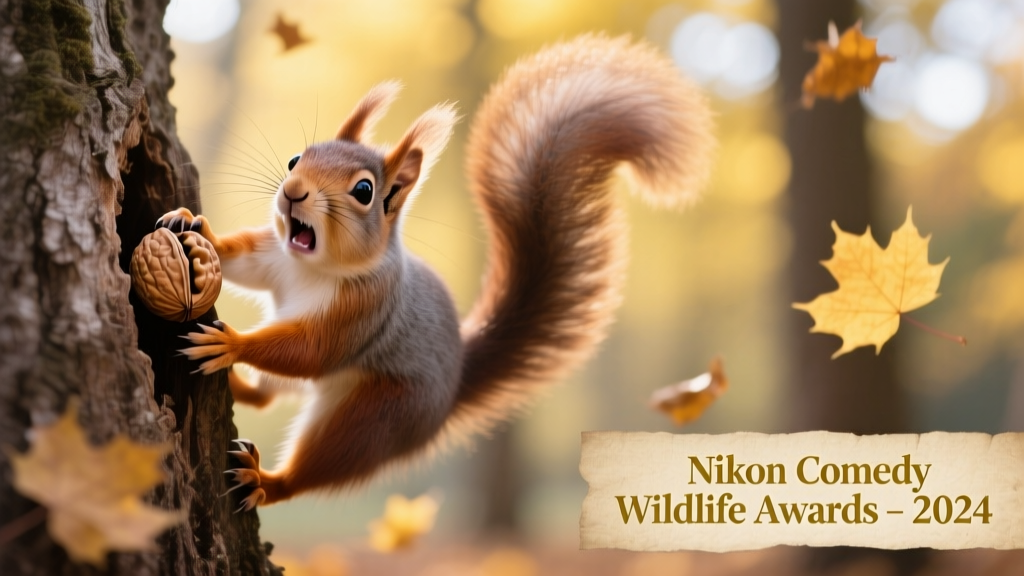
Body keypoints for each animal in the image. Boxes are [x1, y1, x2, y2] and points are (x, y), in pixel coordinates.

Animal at [157, 35, 714, 511]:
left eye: (364, 191)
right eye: (297, 157)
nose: (294, 191)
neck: (312, 267)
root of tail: (451, 389)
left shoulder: (366, 309)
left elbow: (314, 349)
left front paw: (232, 343)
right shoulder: (274, 256)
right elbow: (243, 260)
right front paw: (195, 231)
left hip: (379, 414)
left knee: (323, 456)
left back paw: (267, 480)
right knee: (272, 392)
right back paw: (242, 385)